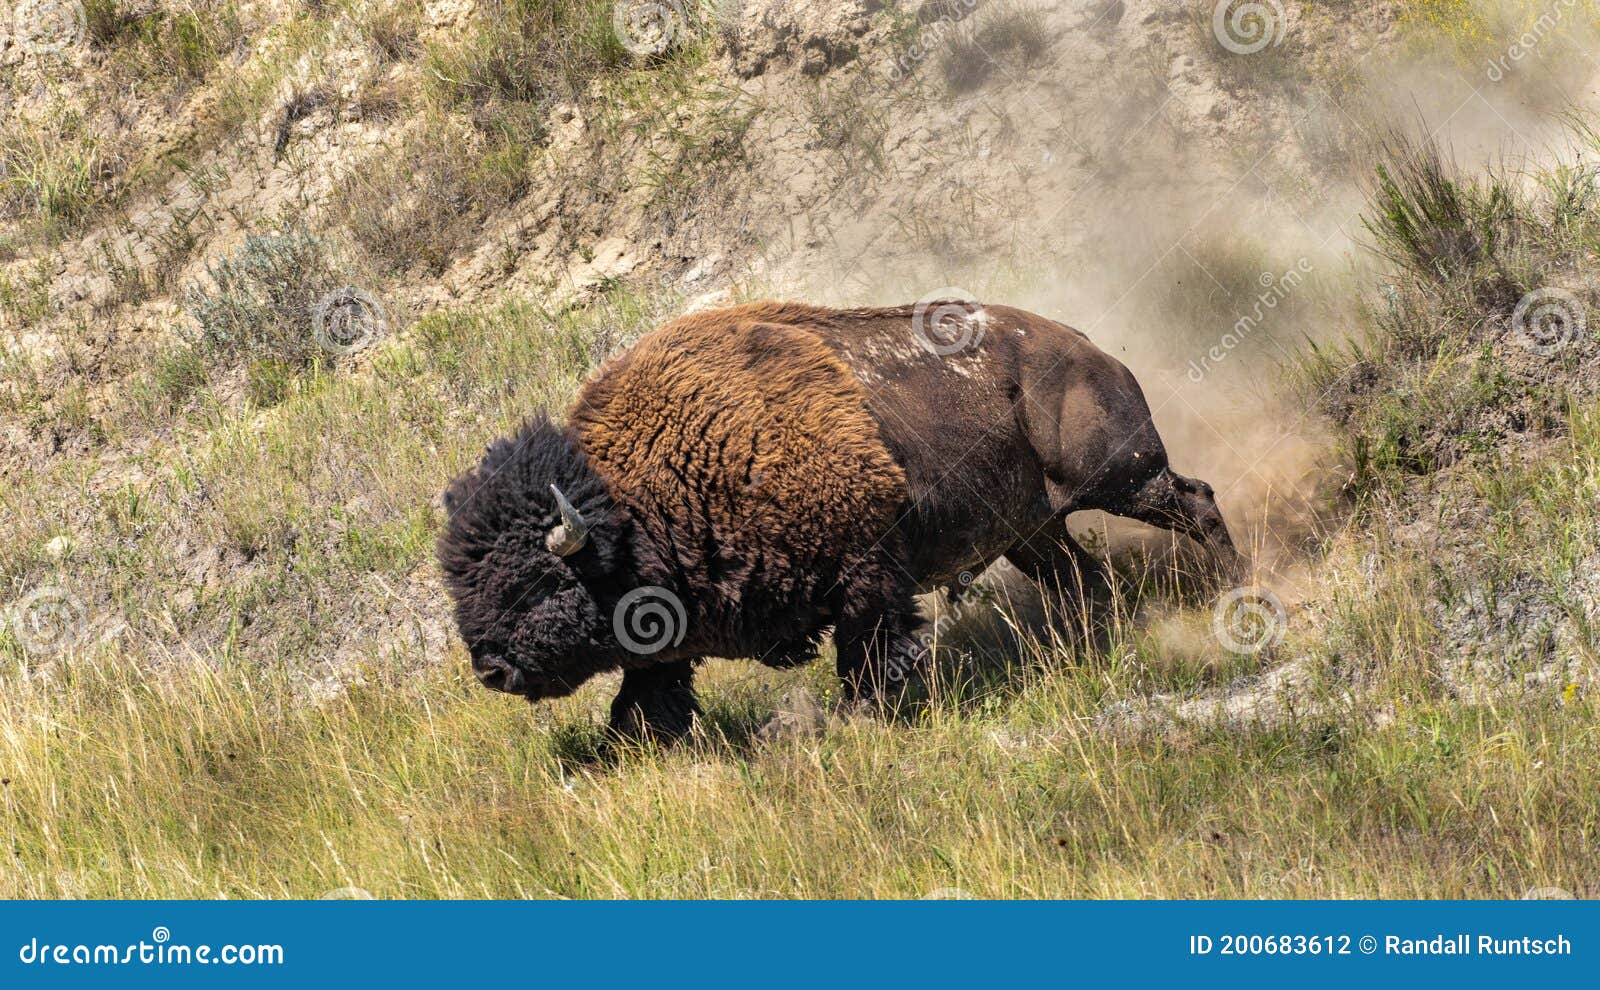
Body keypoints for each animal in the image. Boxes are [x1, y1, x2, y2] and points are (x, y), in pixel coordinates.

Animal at [438, 300, 1241, 741]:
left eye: (542, 583)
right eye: (464, 586)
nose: (491, 668)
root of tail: (1083, 345)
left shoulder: (867, 574)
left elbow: (868, 655)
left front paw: (857, 717)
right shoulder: (668, 641)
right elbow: (644, 702)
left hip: (1121, 477)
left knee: (1197, 500)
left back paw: (1236, 589)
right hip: (1031, 530)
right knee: (1083, 574)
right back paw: (1092, 638)